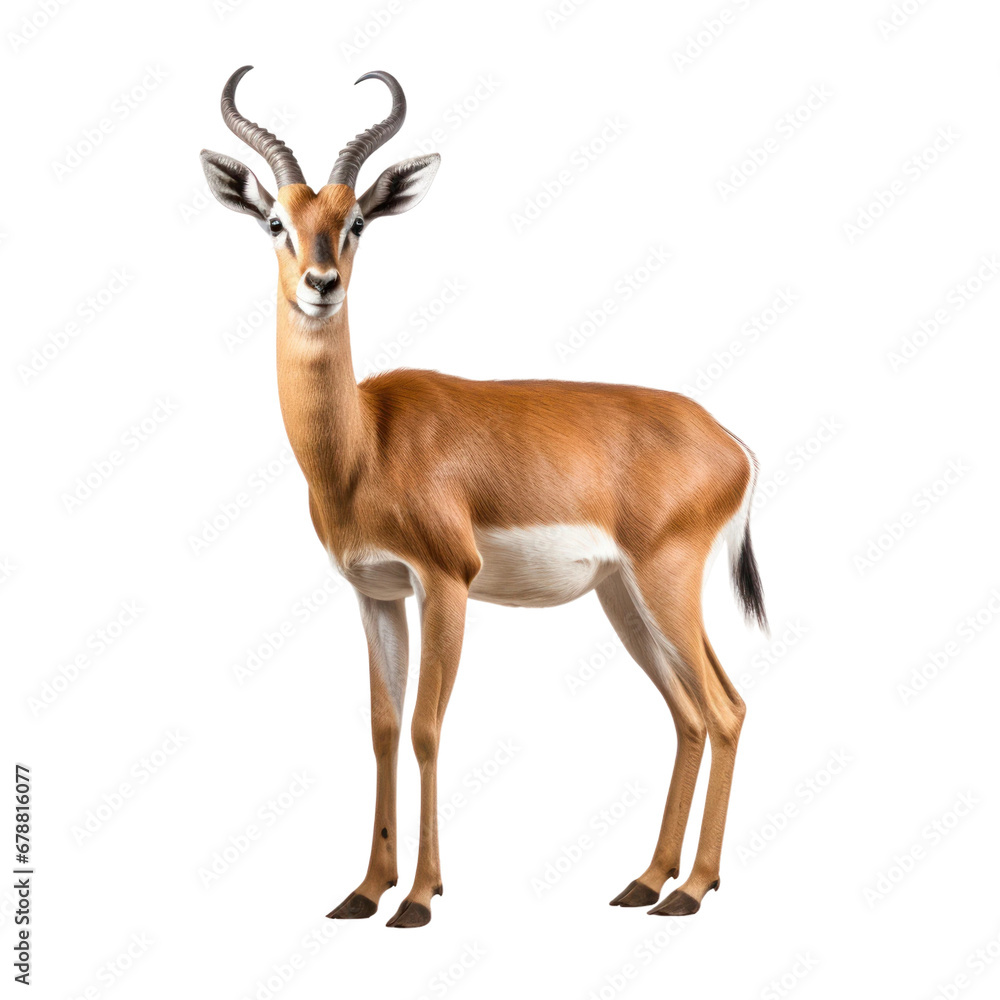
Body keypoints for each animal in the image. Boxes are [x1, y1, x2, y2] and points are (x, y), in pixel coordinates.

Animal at [201, 67, 768, 928]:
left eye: (356, 221)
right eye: (276, 222)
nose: (321, 286)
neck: (364, 443)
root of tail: (731, 441)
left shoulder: (446, 583)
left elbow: (428, 728)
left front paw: (419, 897)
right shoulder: (377, 593)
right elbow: (382, 727)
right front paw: (363, 890)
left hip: (665, 585)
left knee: (725, 708)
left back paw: (692, 889)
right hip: (623, 598)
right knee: (691, 713)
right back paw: (647, 881)